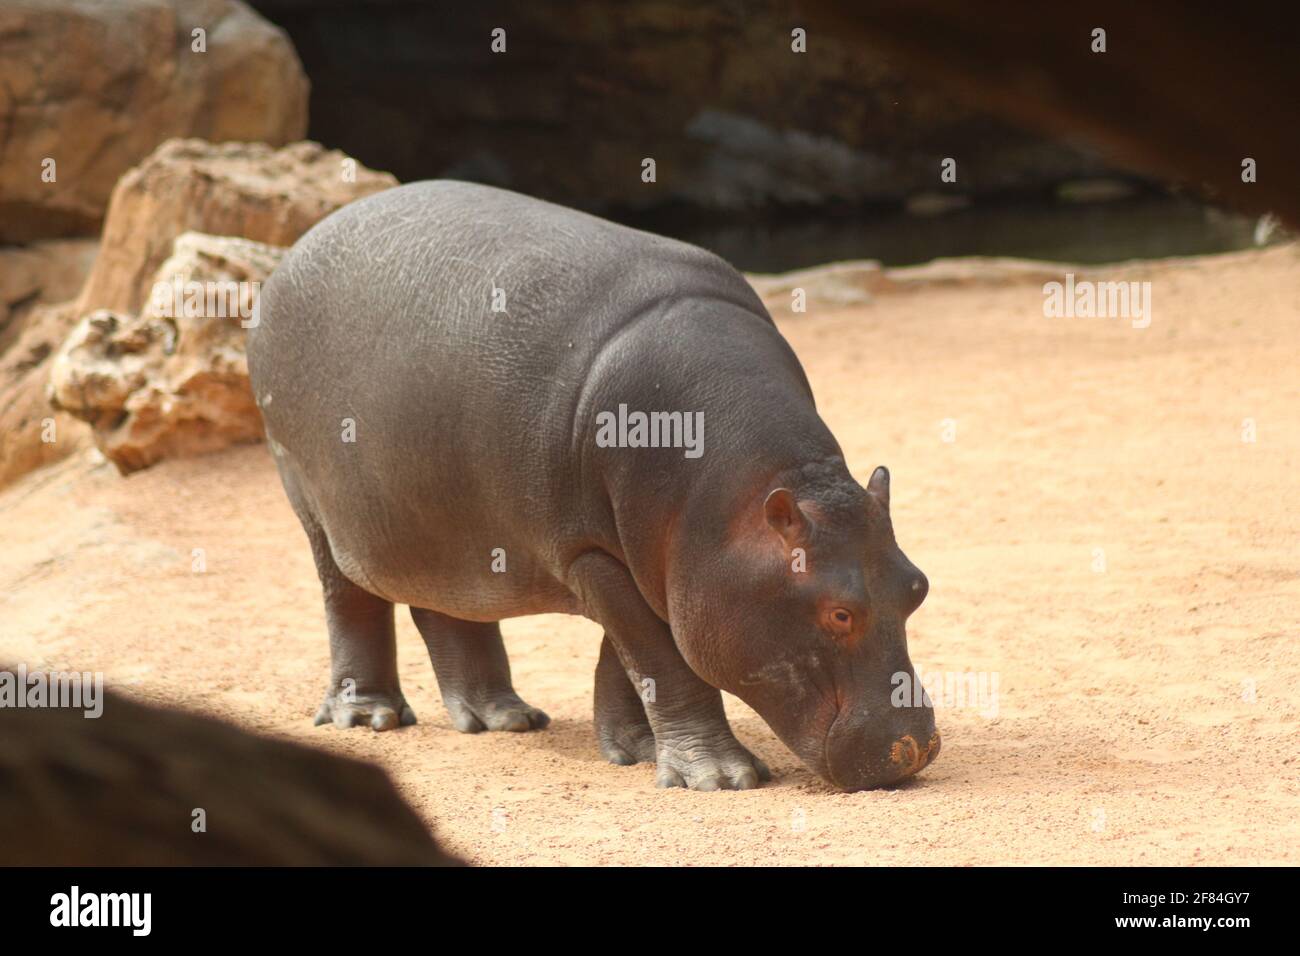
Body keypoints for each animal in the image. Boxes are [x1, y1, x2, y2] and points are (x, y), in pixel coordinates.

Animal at [247, 181, 938, 791]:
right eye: (840, 612)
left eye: (918, 587)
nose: (913, 749)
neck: (740, 497)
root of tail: (298, 250)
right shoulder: (594, 552)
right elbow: (660, 660)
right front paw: (720, 778)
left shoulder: (639, 555)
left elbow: (628, 658)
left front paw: (633, 750)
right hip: (308, 494)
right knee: (348, 599)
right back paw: (371, 717)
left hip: (443, 519)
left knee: (448, 606)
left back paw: (506, 718)